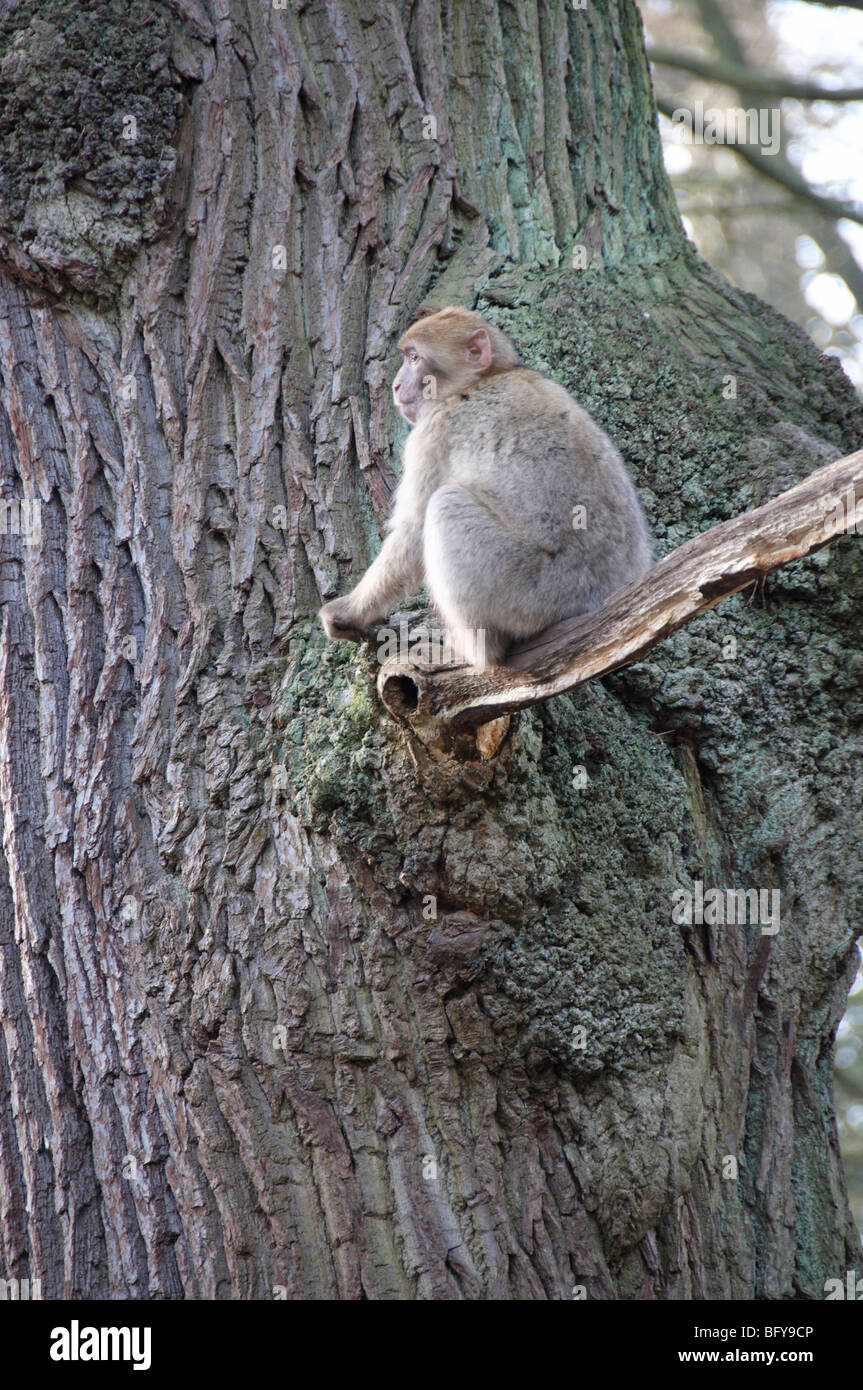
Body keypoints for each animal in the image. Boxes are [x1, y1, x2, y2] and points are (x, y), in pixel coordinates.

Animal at [319, 306, 653, 666]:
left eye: (414, 357)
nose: (395, 385)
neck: (485, 378)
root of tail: (601, 597)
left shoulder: (433, 431)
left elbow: (411, 533)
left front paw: (350, 612)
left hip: (530, 590)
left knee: (445, 505)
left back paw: (476, 652)